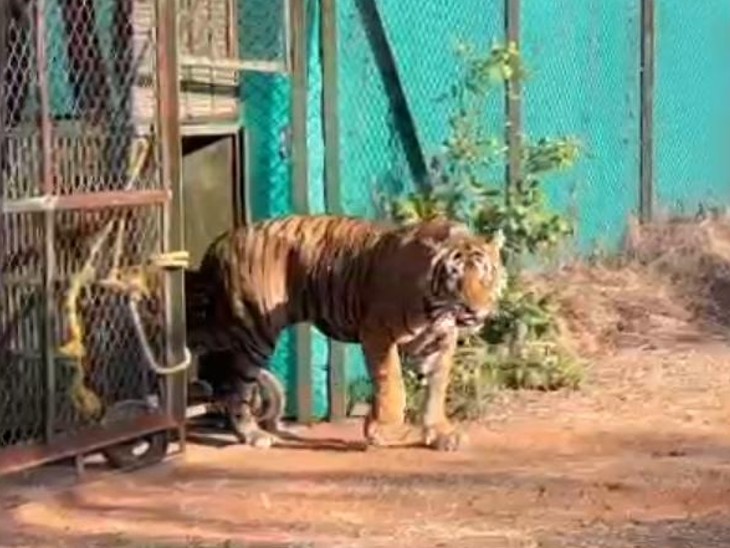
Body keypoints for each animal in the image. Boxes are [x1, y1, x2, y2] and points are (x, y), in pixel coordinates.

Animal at [185, 213, 506, 451]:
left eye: (486, 275)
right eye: (455, 276)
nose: (476, 310)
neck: (438, 308)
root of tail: (223, 239)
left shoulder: (438, 341)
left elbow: (436, 388)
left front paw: (439, 432)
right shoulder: (378, 332)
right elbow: (393, 385)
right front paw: (385, 432)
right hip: (253, 330)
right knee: (232, 384)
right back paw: (252, 433)